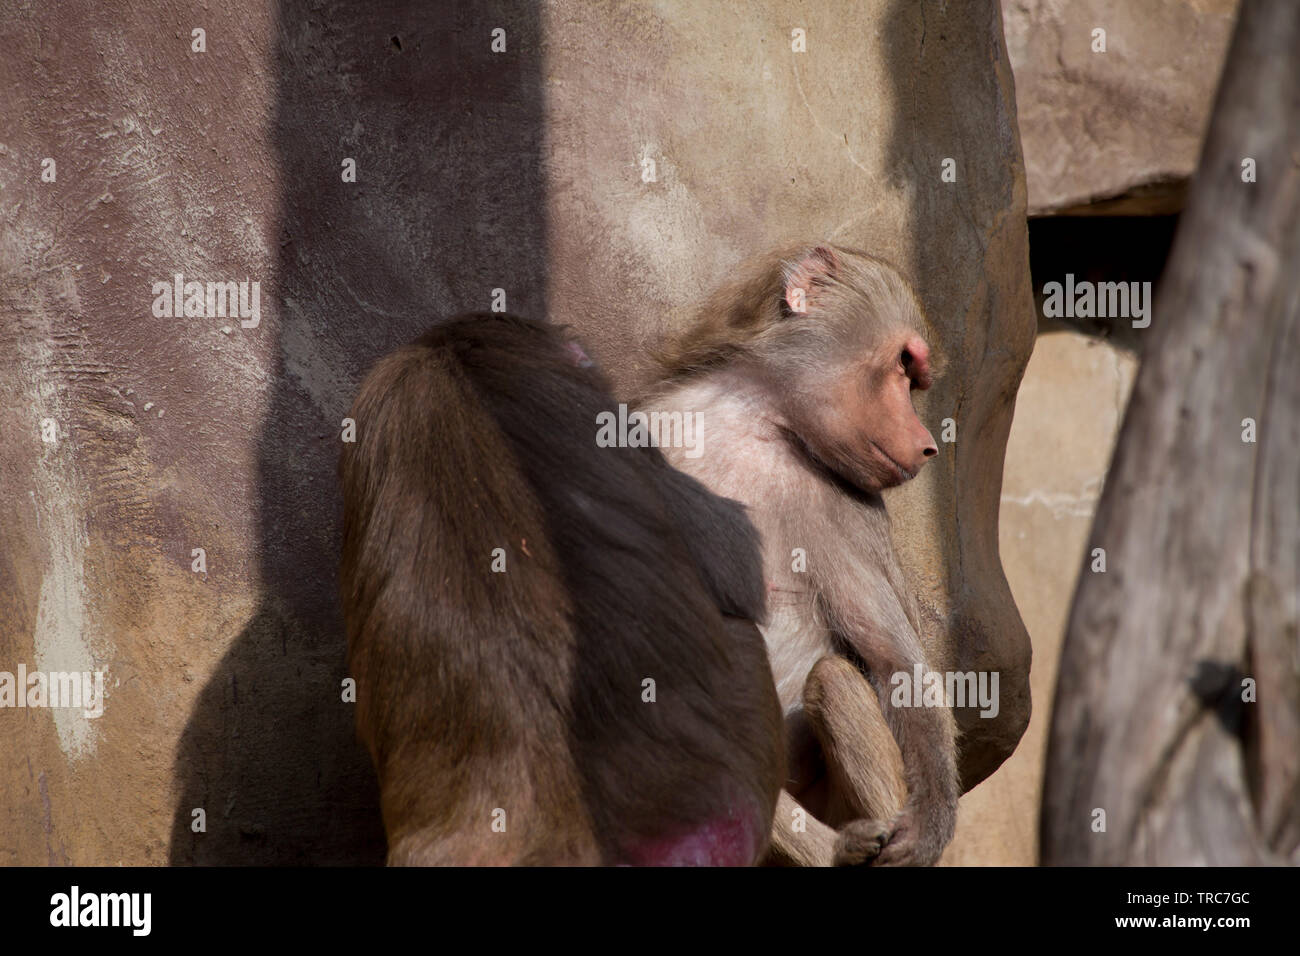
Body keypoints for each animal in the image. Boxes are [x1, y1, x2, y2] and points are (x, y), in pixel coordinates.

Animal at [639, 244, 959, 866]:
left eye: (916, 376)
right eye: (905, 365)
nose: (929, 446)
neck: (755, 419)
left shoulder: (850, 506)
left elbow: (893, 659)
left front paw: (930, 825)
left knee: (833, 682)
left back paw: (852, 850)